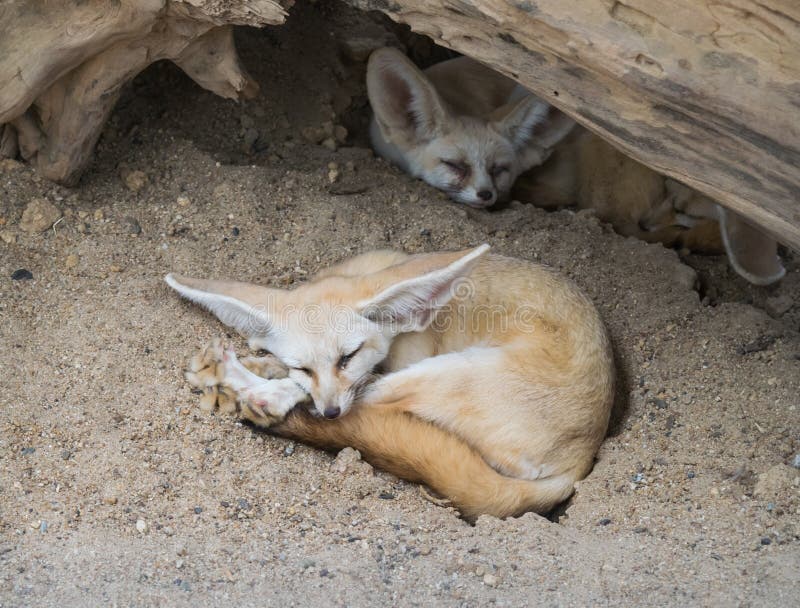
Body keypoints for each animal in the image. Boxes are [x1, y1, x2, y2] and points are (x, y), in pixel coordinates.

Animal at [166, 244, 615, 519]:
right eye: (303, 366)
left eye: (348, 356)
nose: (331, 413)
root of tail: (583, 460)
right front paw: (263, 365)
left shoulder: (390, 366)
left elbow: (351, 388)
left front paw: (259, 381)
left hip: (446, 372)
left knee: (369, 403)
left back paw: (249, 387)